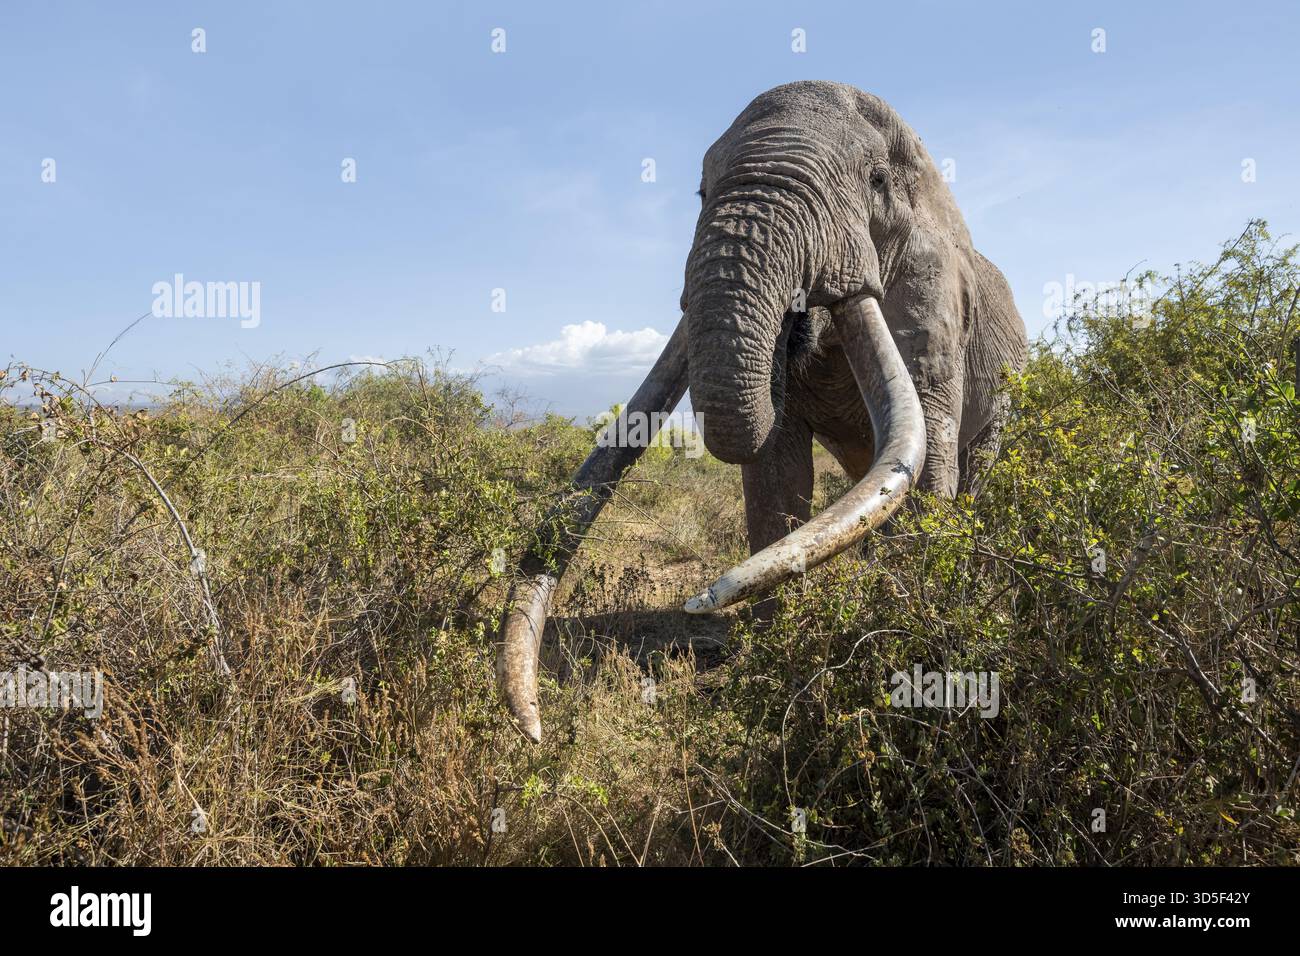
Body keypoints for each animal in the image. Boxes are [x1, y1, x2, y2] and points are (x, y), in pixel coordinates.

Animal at [497, 81, 1028, 742]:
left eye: (876, 179)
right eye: (701, 192)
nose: (534, 732)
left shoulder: (934, 304)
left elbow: (928, 463)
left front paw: (903, 638)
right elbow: (775, 472)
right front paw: (779, 650)